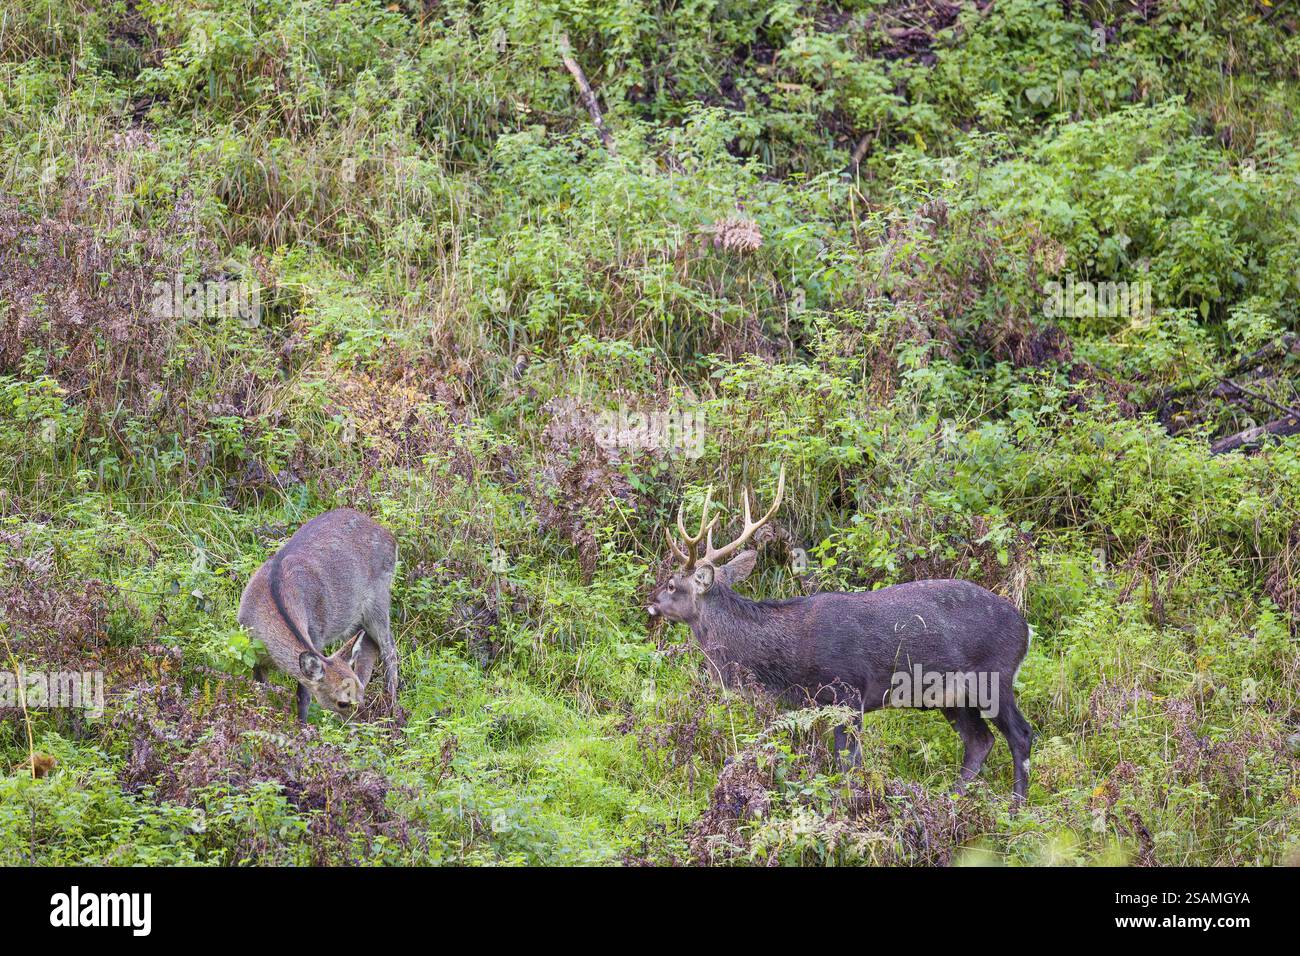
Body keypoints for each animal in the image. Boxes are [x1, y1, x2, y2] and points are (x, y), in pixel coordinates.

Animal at [238, 508, 400, 724]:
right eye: (342, 702)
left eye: (361, 695)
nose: (365, 722)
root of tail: (390, 536)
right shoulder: (252, 652)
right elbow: (259, 691)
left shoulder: (316, 635)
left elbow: (303, 696)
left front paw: (302, 726)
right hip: (351, 617)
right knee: (369, 646)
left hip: (379, 598)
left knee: (389, 647)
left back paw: (393, 706)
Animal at [647, 466, 1035, 799]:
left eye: (672, 584)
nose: (649, 601)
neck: (790, 659)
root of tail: (1026, 628)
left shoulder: (849, 692)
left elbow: (849, 764)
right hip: (951, 696)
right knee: (979, 741)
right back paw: (953, 798)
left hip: (995, 677)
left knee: (1021, 735)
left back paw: (1016, 806)